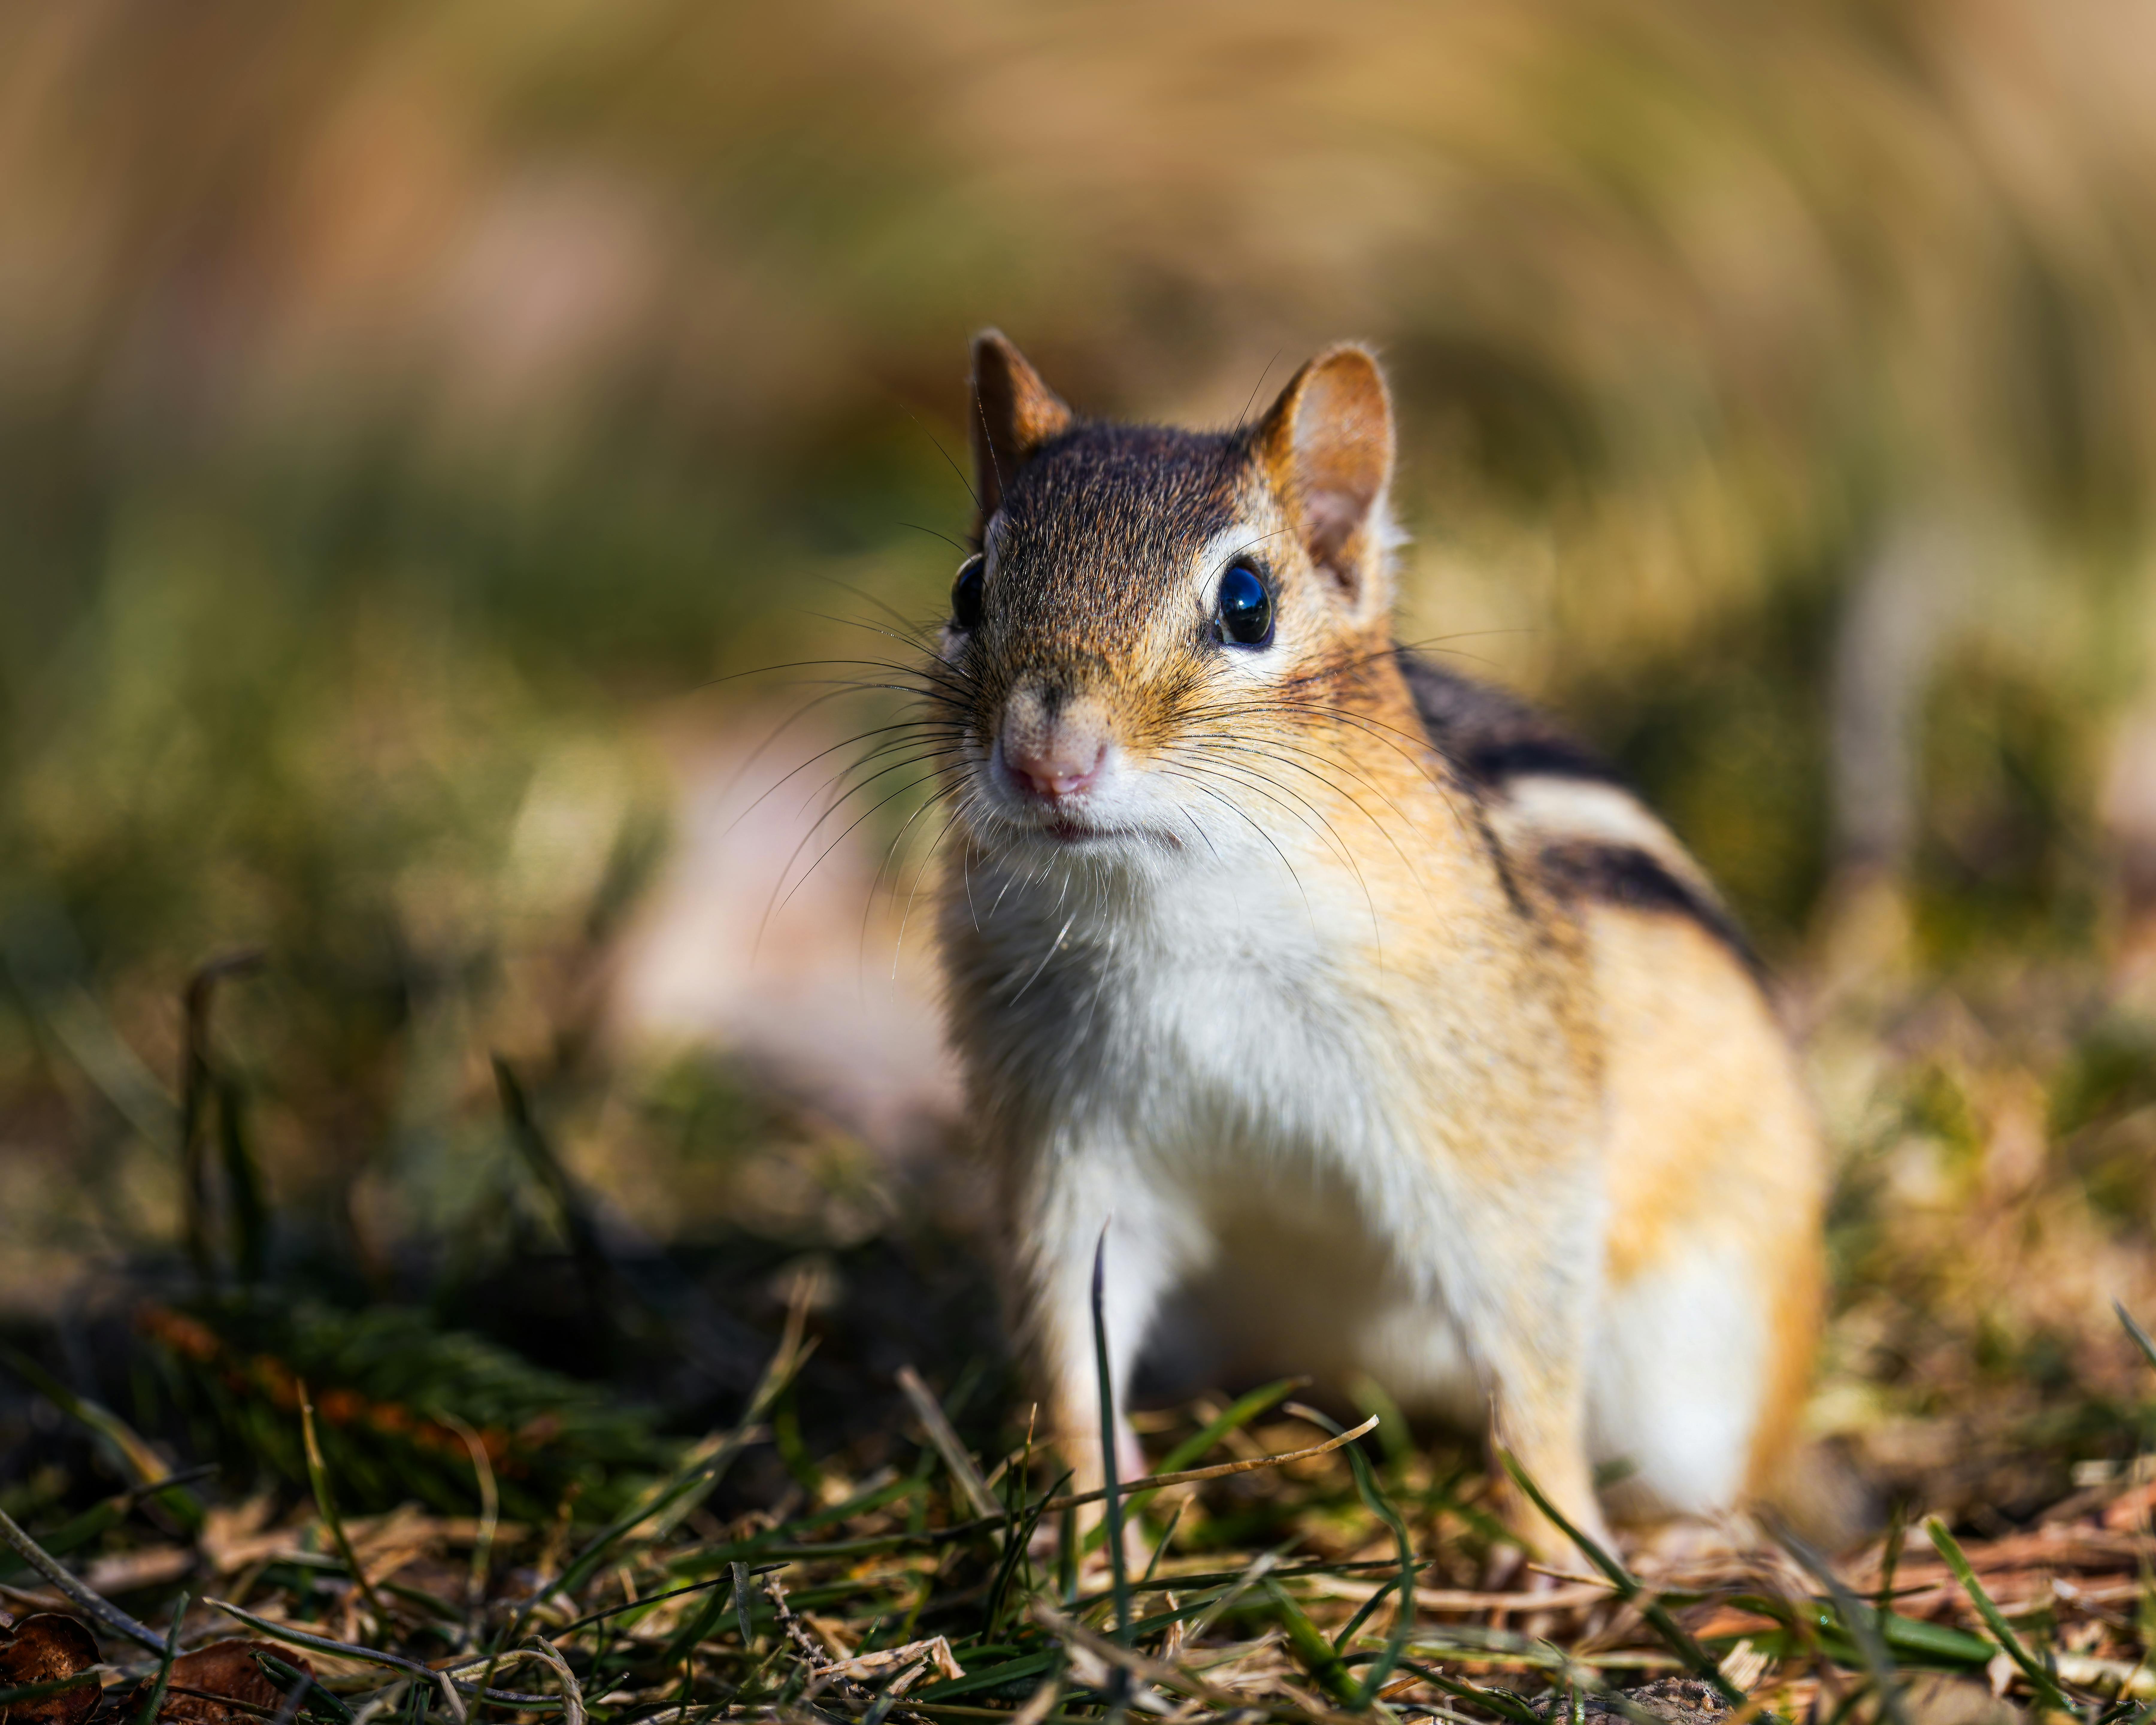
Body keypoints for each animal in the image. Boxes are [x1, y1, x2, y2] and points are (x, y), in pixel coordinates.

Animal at [928, 331, 1827, 1556]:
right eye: (970, 588)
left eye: (1247, 602)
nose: (1043, 757)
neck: (1179, 917)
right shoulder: (1068, 1147)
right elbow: (1074, 1338)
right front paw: (1094, 1532)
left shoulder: (1495, 1145)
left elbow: (1529, 1352)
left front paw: (1562, 1551)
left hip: (1705, 1365)